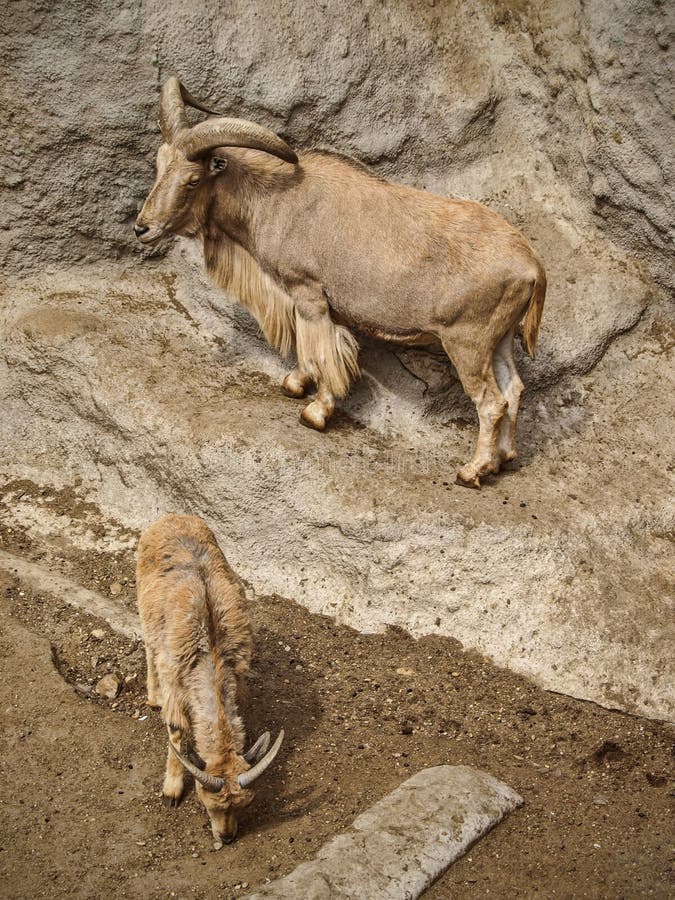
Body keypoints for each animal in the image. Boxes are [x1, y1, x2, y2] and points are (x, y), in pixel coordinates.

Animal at [135, 78, 546, 487]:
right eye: (159, 165)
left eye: (192, 180)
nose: (143, 228)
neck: (272, 198)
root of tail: (532, 267)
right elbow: (309, 347)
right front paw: (295, 383)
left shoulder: (308, 291)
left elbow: (321, 349)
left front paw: (315, 412)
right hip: (499, 339)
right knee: (514, 389)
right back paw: (502, 460)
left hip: (467, 342)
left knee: (491, 402)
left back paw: (472, 470)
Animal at [136, 513, 283, 846]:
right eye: (208, 804)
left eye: (244, 804)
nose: (227, 838)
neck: (211, 648)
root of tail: (171, 517)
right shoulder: (175, 677)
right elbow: (176, 730)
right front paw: (172, 790)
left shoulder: (238, 677)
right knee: (149, 645)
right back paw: (153, 696)